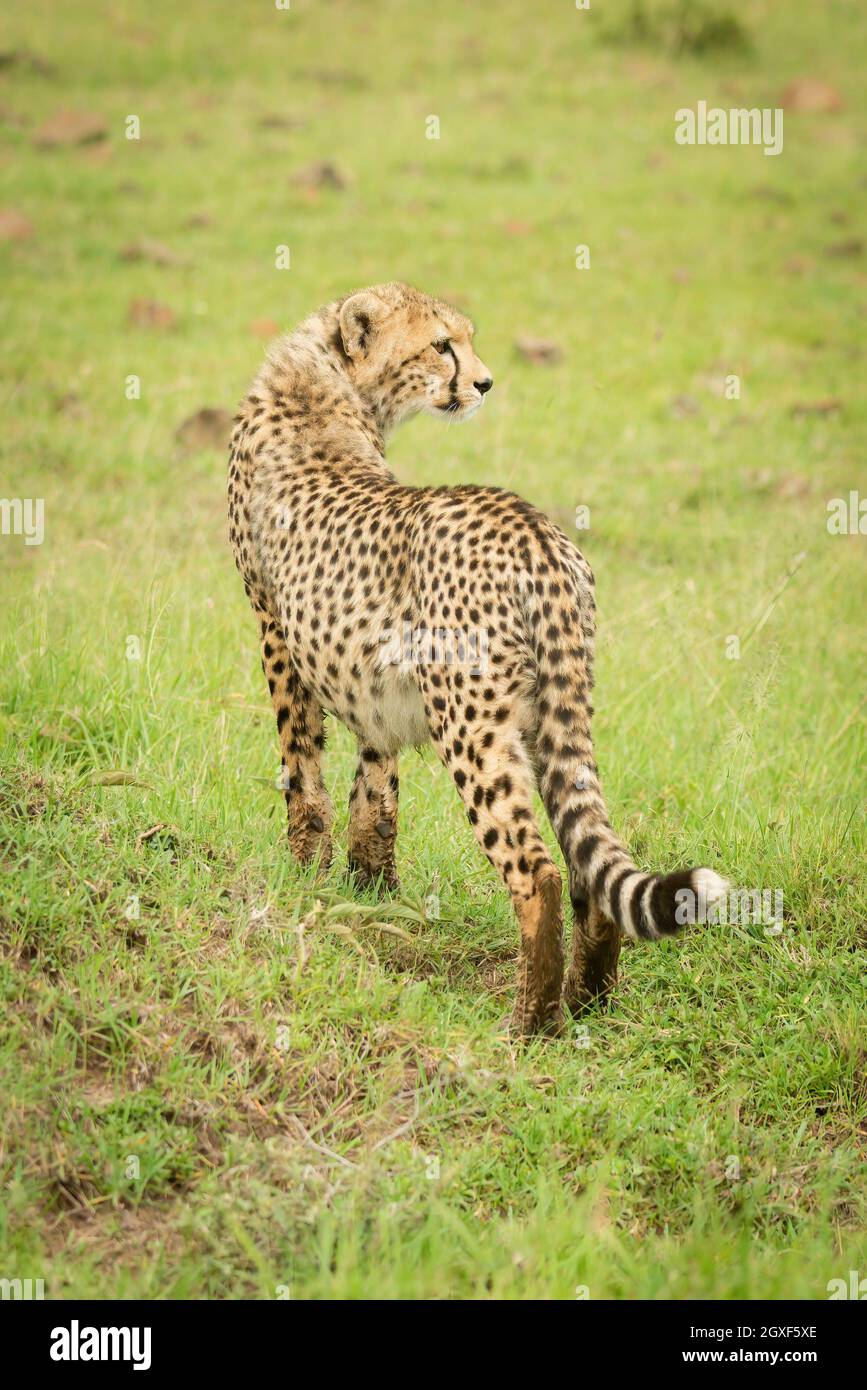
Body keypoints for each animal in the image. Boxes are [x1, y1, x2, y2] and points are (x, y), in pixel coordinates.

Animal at [227, 281, 727, 1036]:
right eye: (442, 344)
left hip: (472, 724)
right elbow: (376, 791)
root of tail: (536, 531)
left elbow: (303, 772)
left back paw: (528, 1024)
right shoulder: (375, 681)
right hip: (550, 716)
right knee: (588, 861)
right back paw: (587, 1002)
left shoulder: (274, 631)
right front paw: (370, 892)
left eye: (461, 339)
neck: (329, 384)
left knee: (538, 870)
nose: (486, 382)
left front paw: (307, 877)